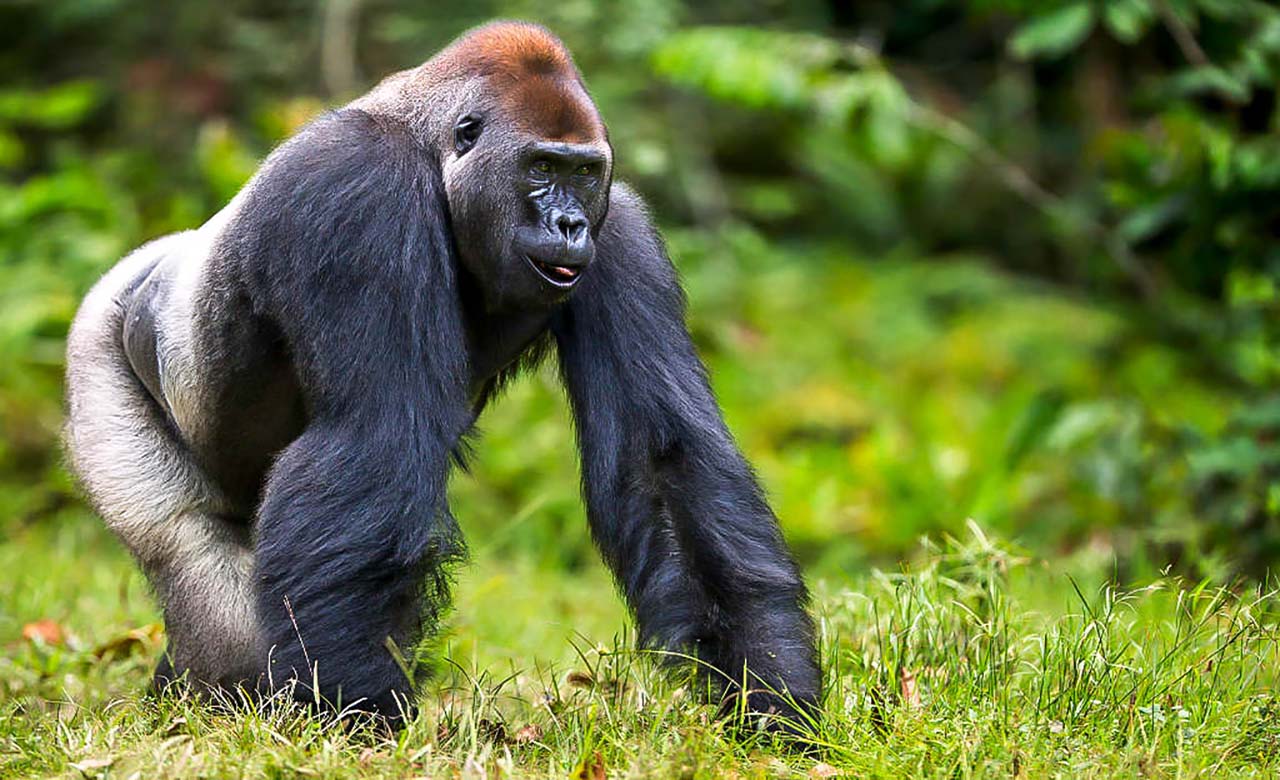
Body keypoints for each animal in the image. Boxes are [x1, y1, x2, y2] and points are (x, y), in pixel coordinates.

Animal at [64, 21, 819, 731]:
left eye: (582, 173)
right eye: (541, 166)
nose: (571, 224)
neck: (428, 147)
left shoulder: (623, 229)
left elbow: (663, 463)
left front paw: (770, 696)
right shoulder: (360, 188)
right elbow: (376, 440)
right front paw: (352, 713)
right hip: (97, 347)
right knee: (196, 558)